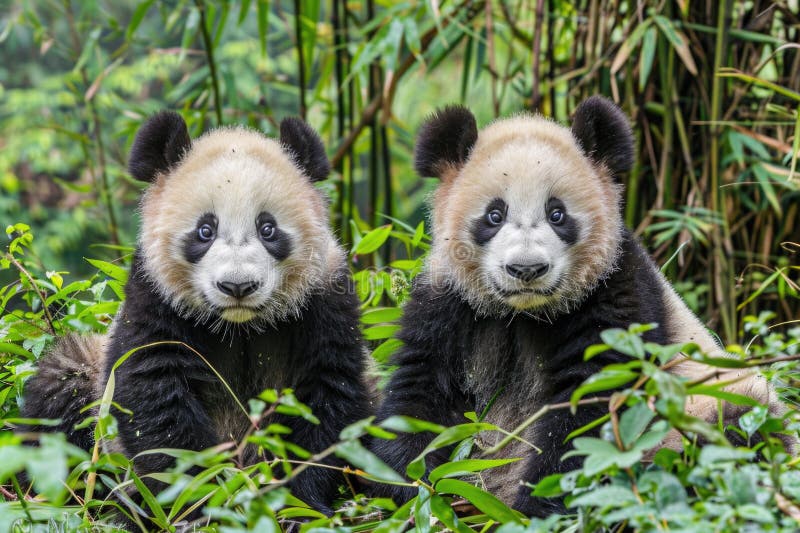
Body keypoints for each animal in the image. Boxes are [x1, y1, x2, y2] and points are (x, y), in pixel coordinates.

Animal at [20, 111, 373, 515]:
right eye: (205, 230)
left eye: (268, 228)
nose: (238, 286)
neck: (240, 326)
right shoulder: (155, 297)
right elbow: (157, 396)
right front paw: (203, 499)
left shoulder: (324, 299)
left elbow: (327, 393)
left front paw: (297, 504)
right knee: (59, 393)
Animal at [370, 96, 790, 516]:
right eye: (494, 215)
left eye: (557, 214)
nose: (526, 269)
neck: (523, 313)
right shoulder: (449, 303)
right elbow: (424, 388)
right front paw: (411, 485)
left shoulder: (612, 296)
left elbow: (590, 409)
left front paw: (535, 505)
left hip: (713, 401)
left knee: (736, 433)